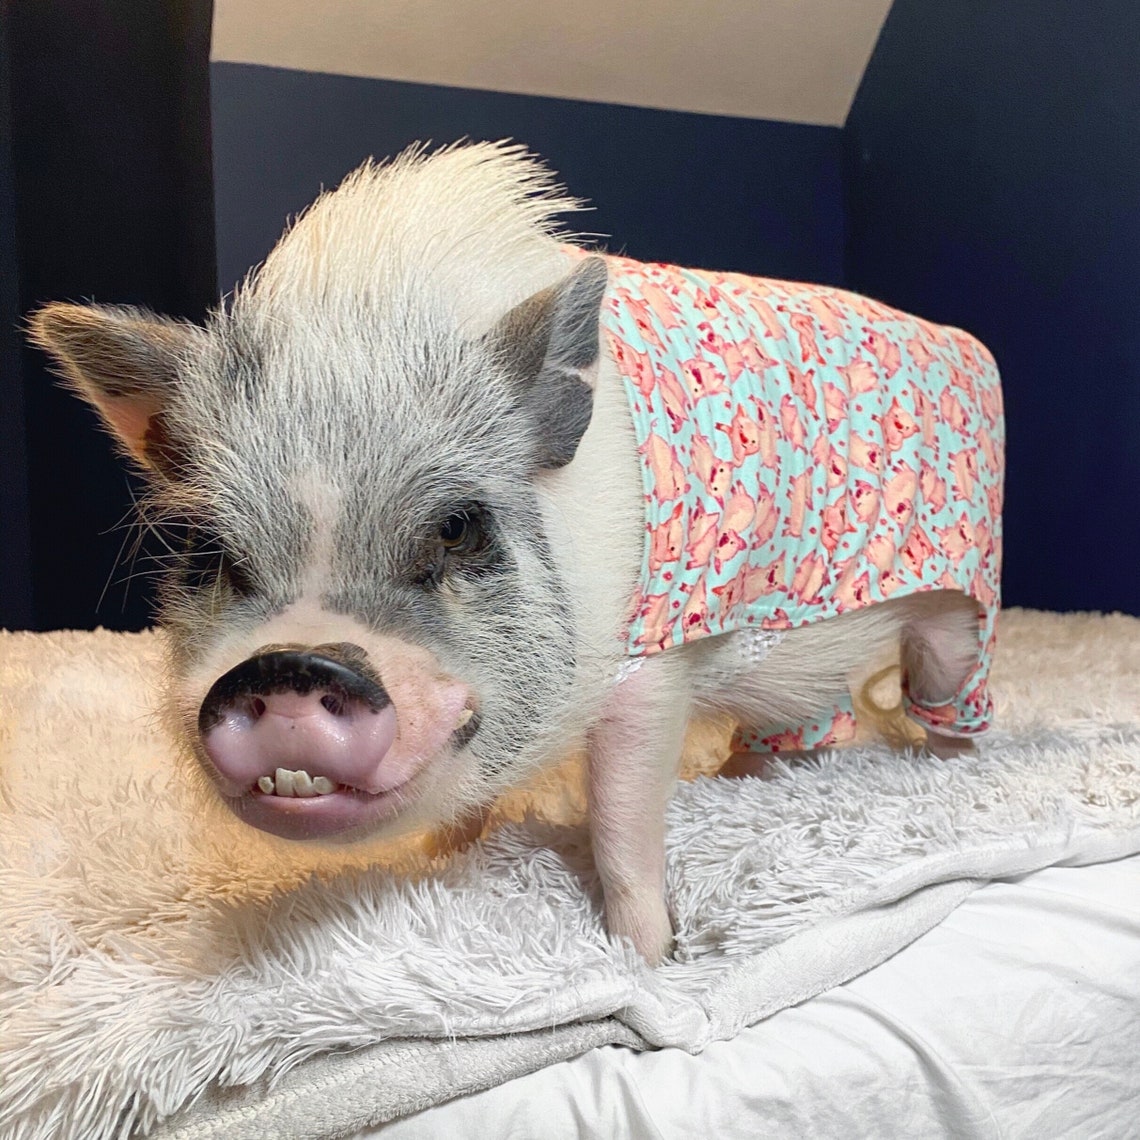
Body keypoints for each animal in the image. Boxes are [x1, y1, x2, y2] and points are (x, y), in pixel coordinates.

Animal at [29, 141, 1004, 963]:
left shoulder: (648, 666)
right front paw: (443, 864)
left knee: (949, 694)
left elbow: (620, 819)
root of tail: (967, 343)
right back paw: (744, 776)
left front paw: (651, 961)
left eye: (458, 527)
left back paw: (956, 778)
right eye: (211, 552)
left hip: (966, 605)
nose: (285, 664)